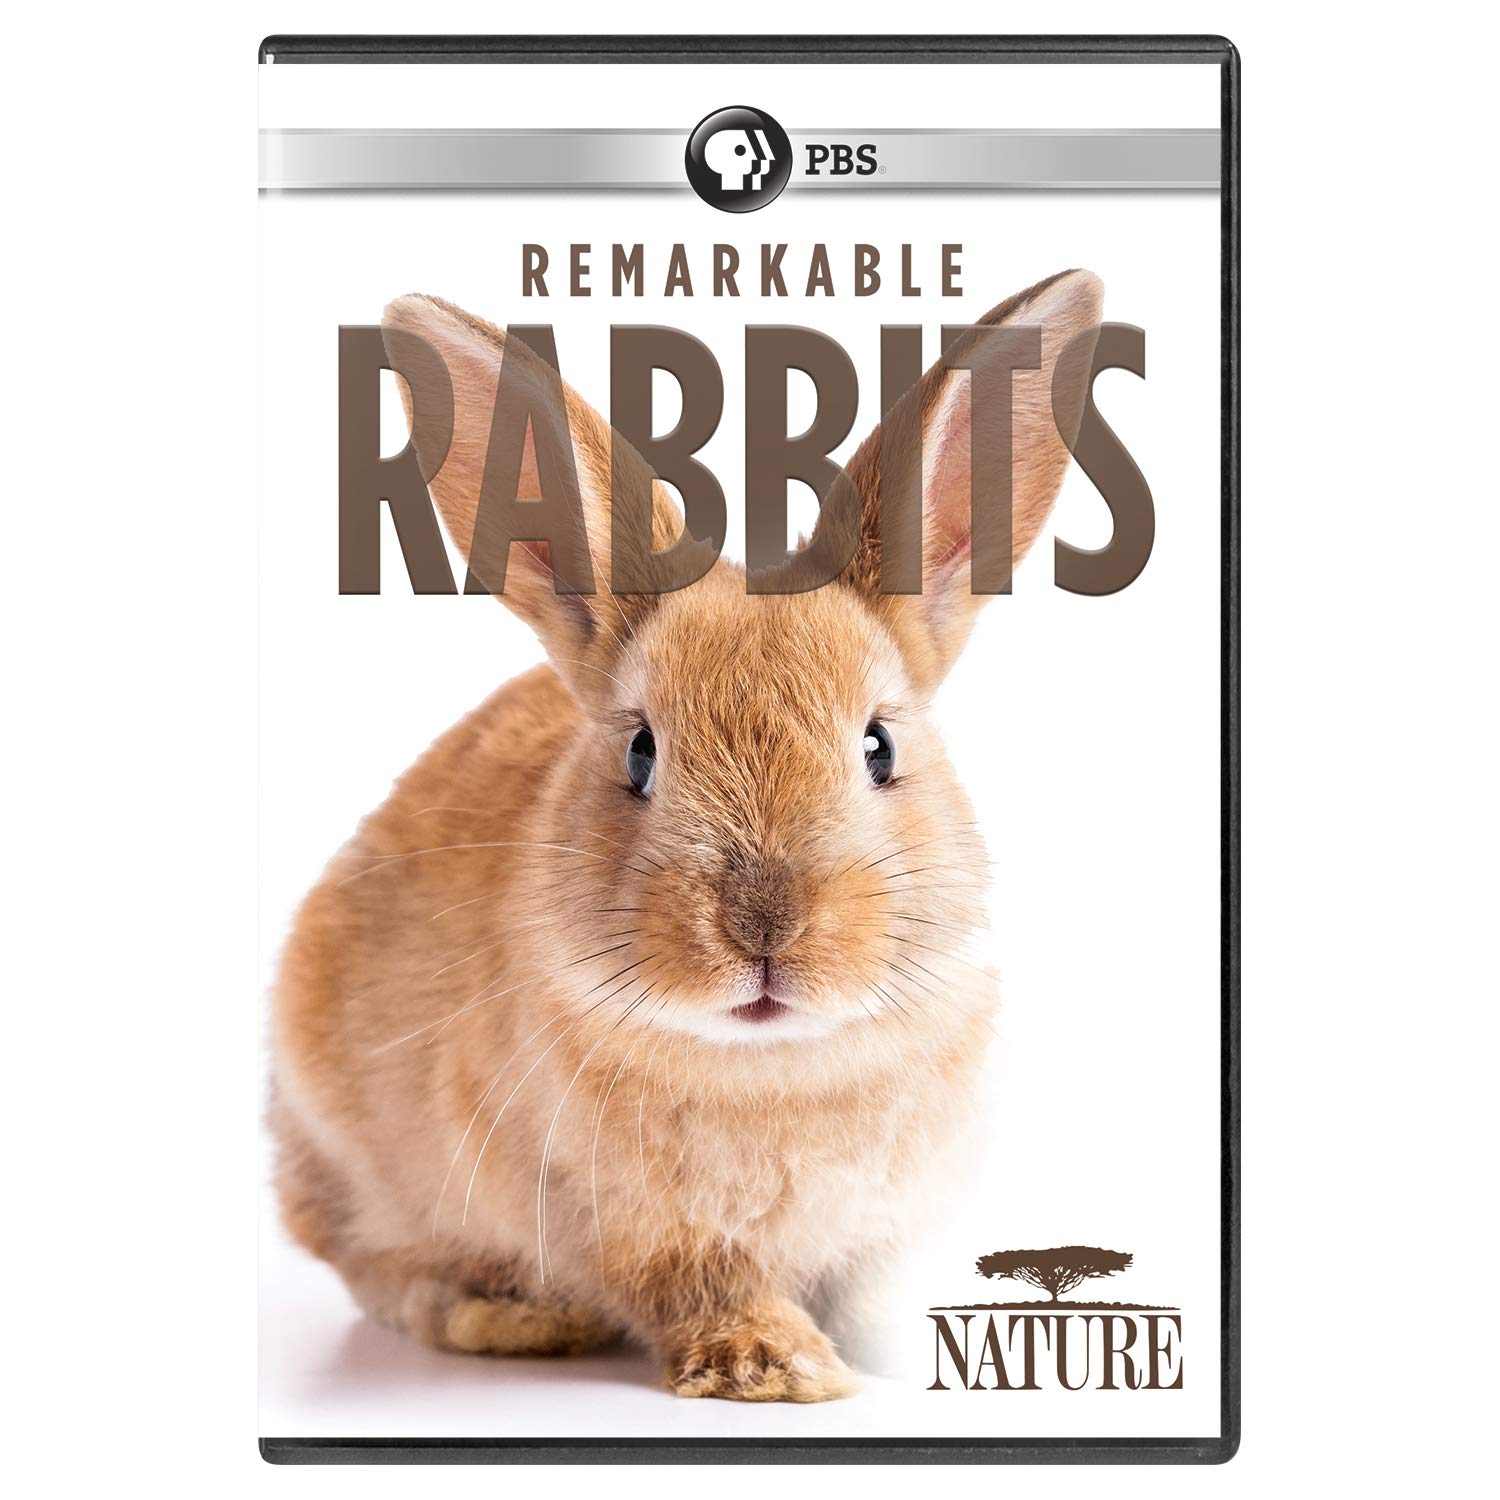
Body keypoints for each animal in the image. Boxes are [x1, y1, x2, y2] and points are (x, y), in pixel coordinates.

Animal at [270, 268, 1103, 1402]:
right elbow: (700, 1286)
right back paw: (511, 1316)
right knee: (379, 1267)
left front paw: (884, 1349)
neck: (774, 1068)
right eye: (639, 754)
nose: (764, 926)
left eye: (880, 746)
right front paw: (777, 1368)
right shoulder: (633, 1227)